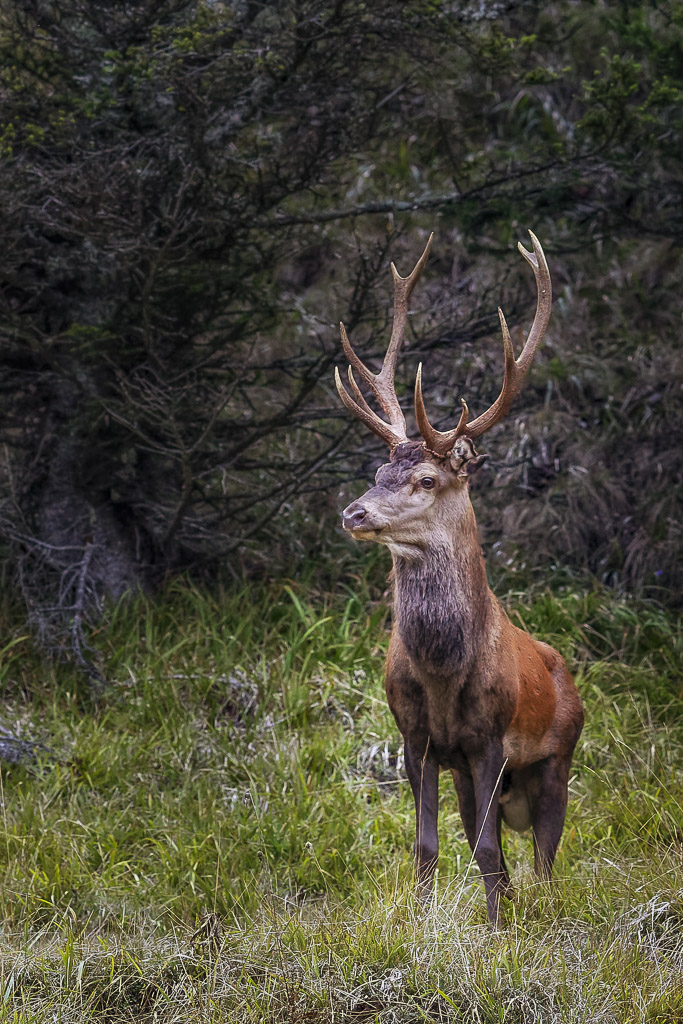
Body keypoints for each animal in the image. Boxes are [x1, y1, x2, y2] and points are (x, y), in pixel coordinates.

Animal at [334, 231, 584, 926]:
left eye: (425, 479)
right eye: (377, 472)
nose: (353, 512)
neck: (444, 673)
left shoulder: (491, 739)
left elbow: (492, 855)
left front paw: (500, 938)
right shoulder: (417, 738)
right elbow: (430, 846)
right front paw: (420, 927)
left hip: (555, 759)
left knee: (545, 858)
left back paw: (541, 912)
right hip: (475, 777)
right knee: (494, 844)